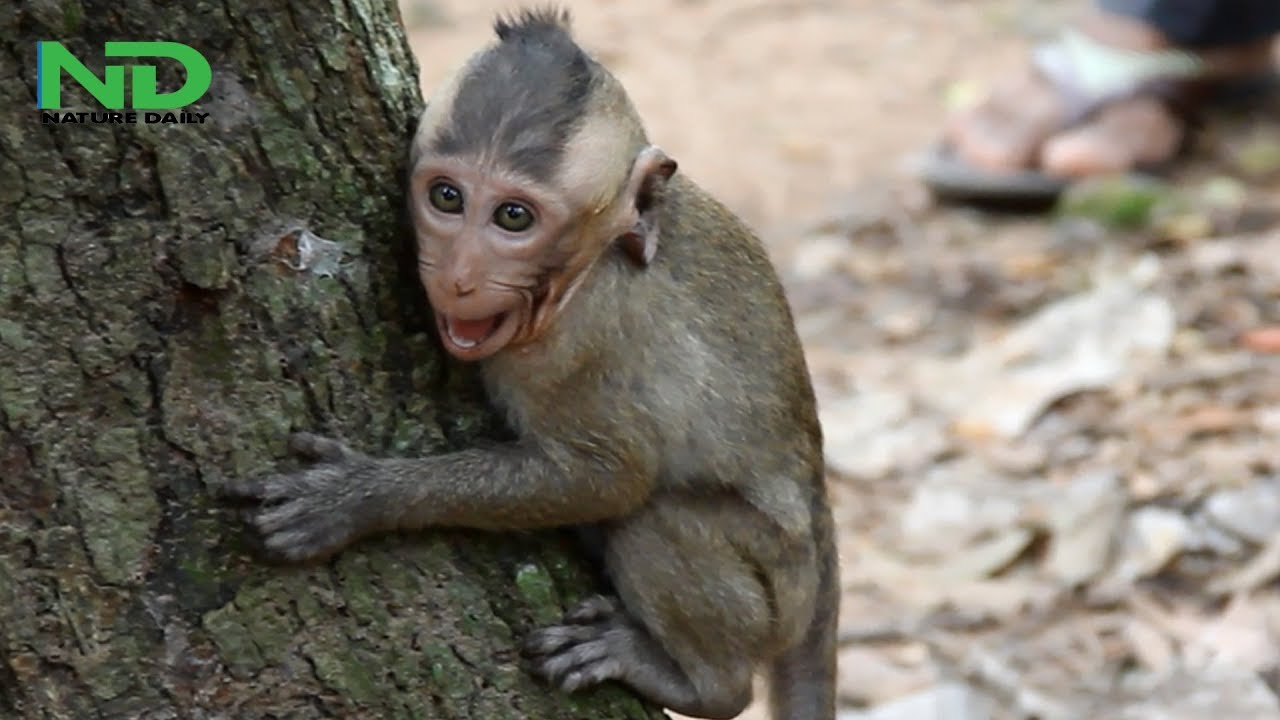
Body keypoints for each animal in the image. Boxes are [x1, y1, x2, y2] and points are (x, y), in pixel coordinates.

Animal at [223, 7, 838, 720]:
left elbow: (608, 477)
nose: (458, 275)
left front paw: (360, 497)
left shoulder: (582, 342)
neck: (588, 269)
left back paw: (705, 684)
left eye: (513, 216)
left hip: (777, 585)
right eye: (447, 198)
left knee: (660, 519)